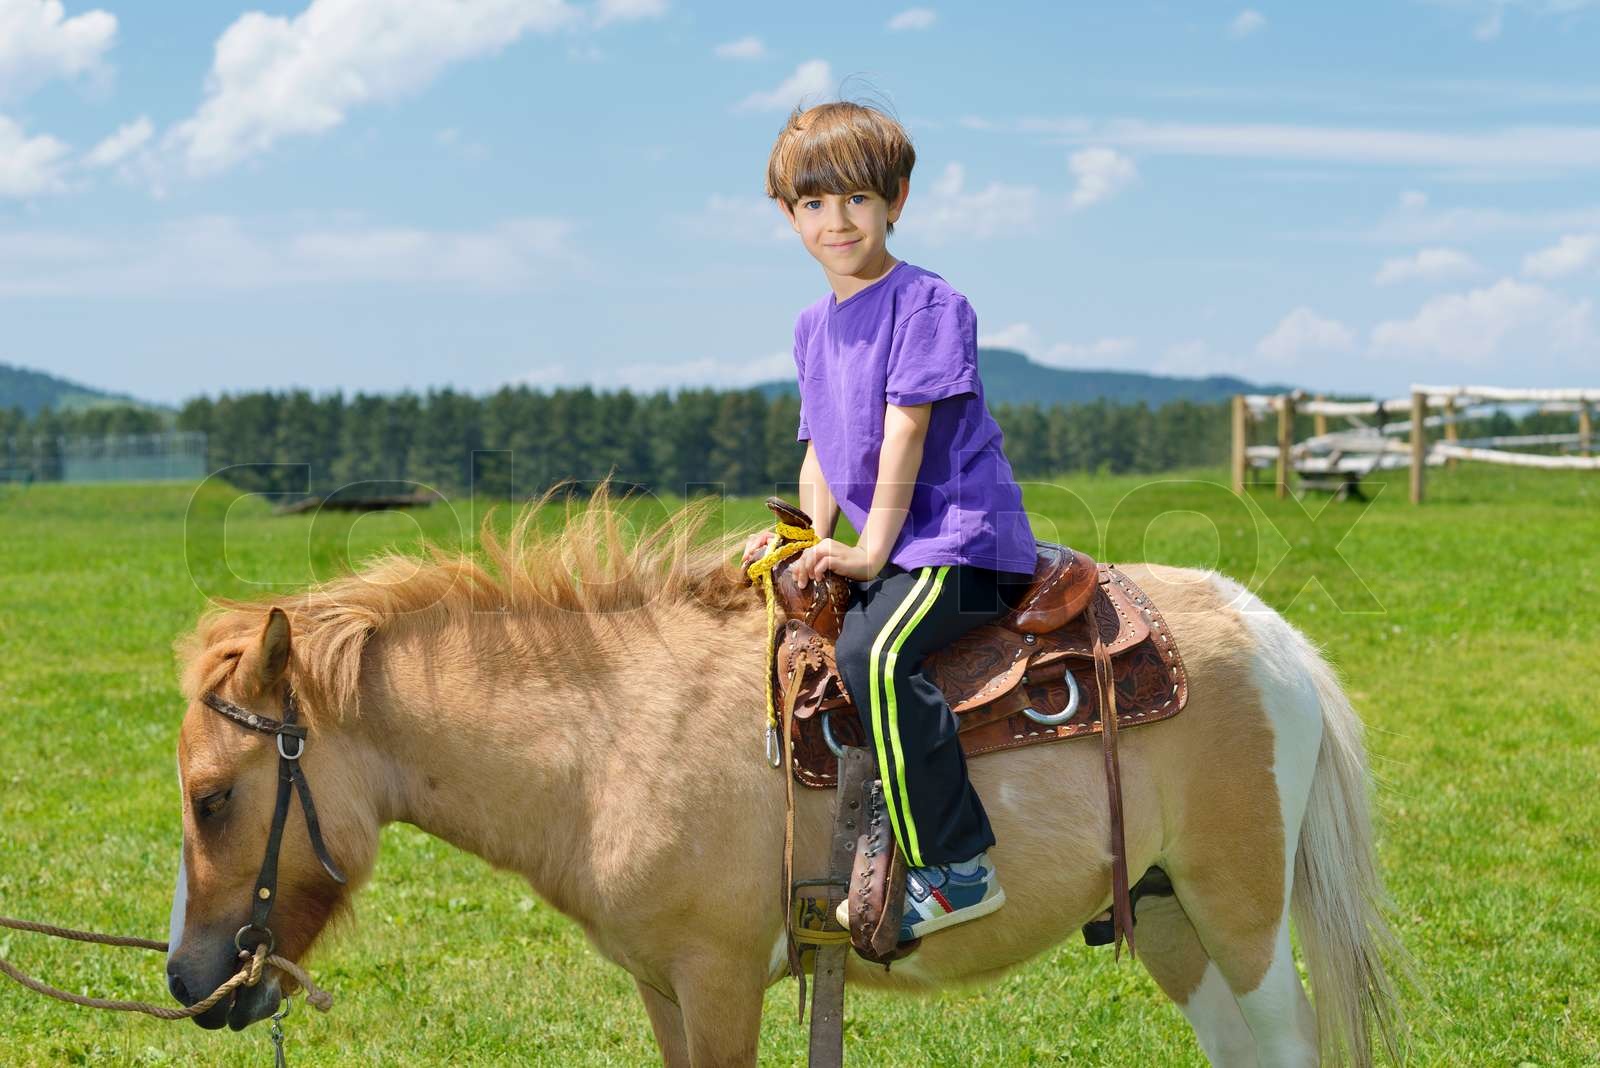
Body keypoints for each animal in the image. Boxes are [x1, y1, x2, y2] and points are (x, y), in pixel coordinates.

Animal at [165, 485, 1405, 1066]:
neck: (614, 733)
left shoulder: (719, 980)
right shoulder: (662, 988)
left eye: (212, 798)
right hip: (1166, 914)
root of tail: (1268, 631)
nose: (187, 980)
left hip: (1238, 911)